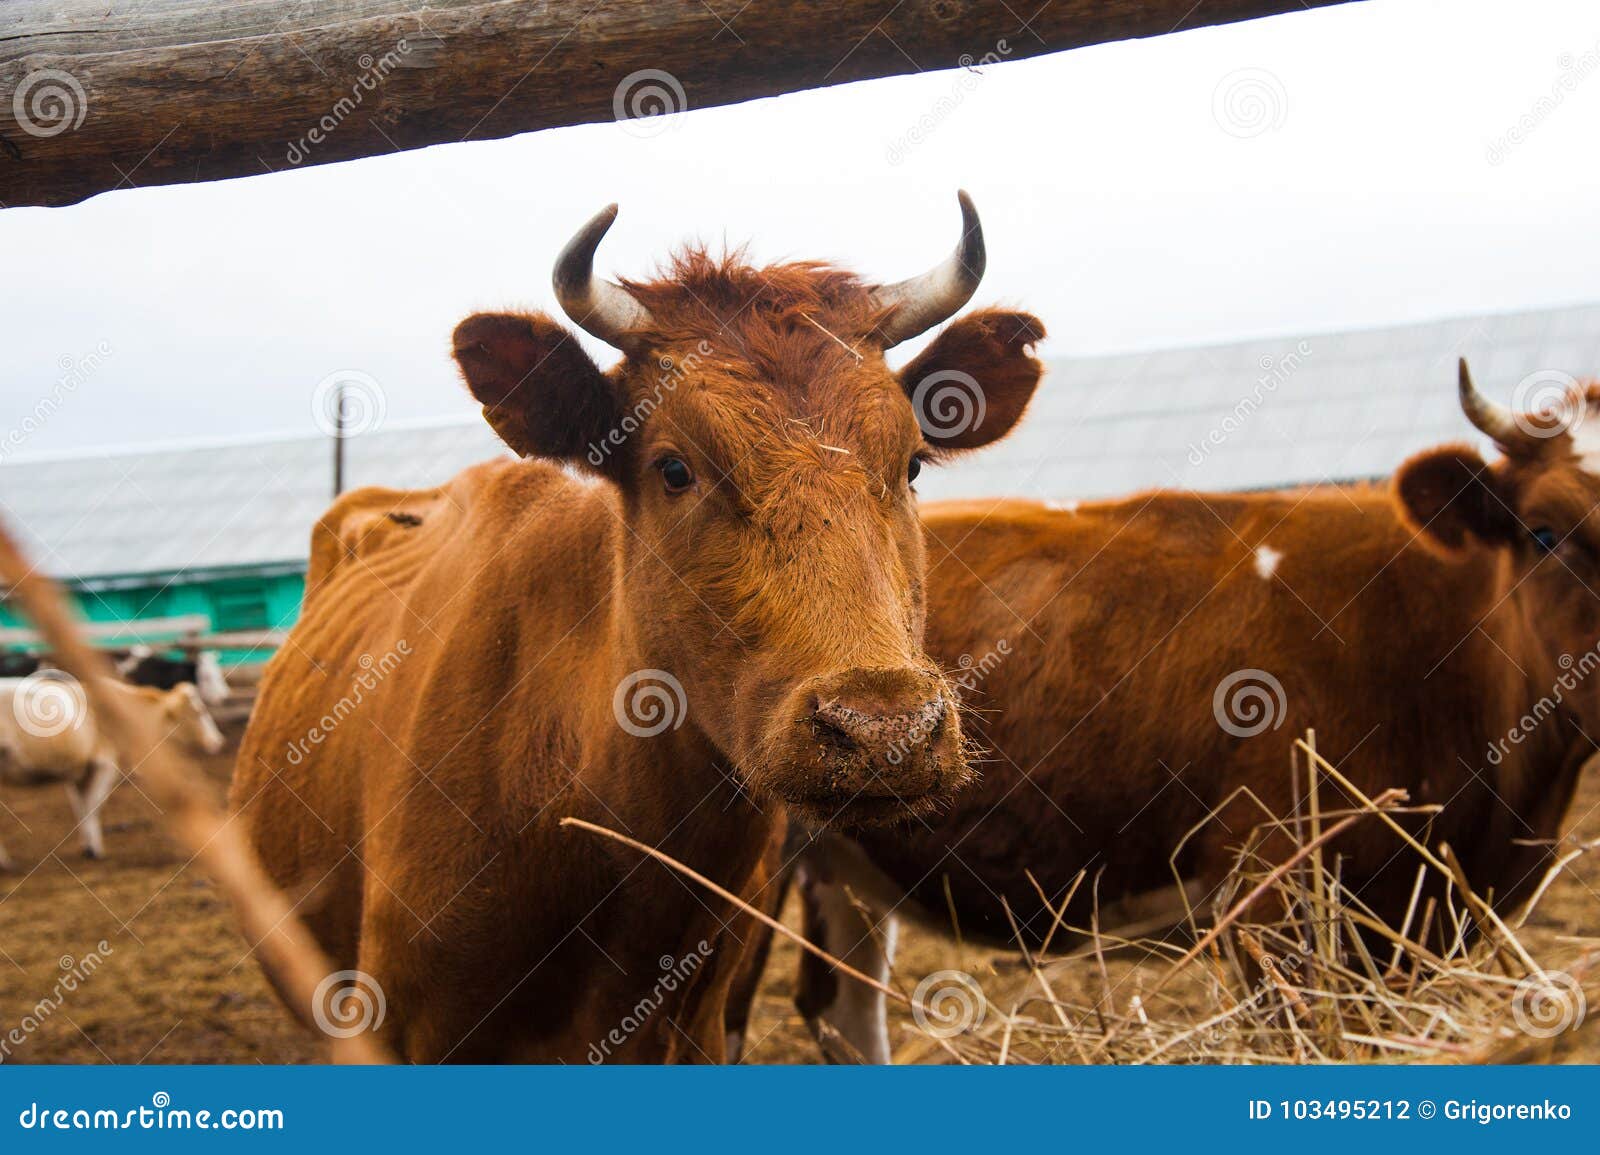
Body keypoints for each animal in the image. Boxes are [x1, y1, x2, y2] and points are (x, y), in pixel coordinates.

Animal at [0, 675, 225, 868]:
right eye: (199, 712)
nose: (218, 741)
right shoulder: (105, 763)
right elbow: (94, 804)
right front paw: (94, 850)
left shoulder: (79, 771)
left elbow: (80, 806)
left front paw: (86, 844)